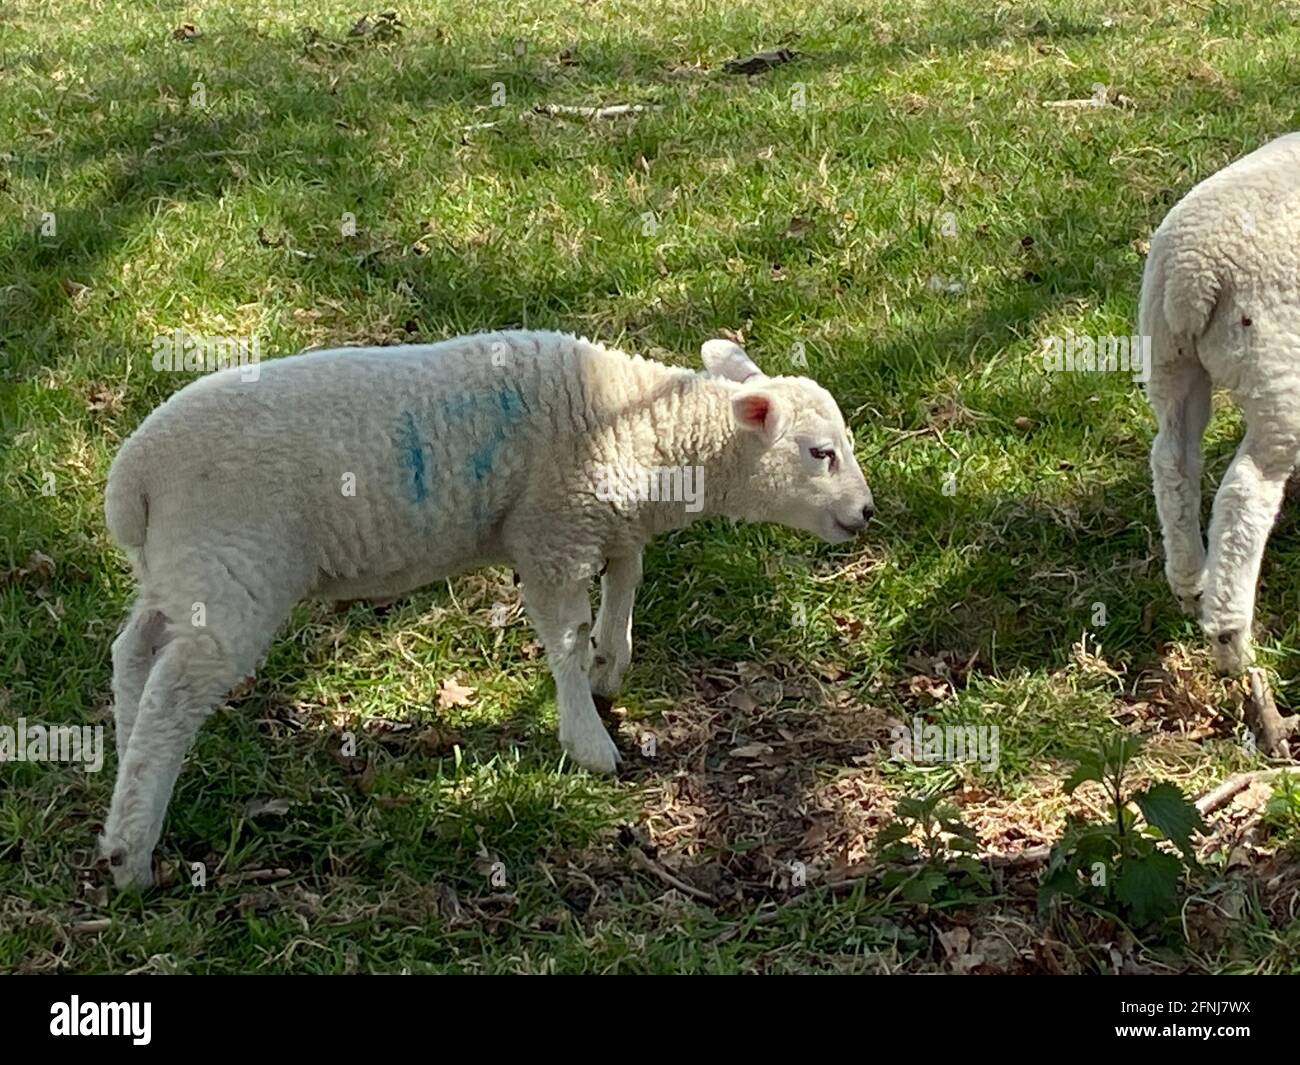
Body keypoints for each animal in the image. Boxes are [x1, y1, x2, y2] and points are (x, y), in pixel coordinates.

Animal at [100, 330, 875, 888]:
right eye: (820, 453)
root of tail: (135, 477)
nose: (867, 513)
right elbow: (564, 636)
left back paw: (123, 757)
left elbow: (627, 579)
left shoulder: (606, 522)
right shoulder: (553, 531)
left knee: (133, 653)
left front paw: (612, 661)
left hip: (180, 567)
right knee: (174, 695)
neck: (643, 430)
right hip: (233, 565)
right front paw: (588, 738)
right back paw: (130, 852)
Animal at [1142, 132, 1300, 674]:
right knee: (1246, 491)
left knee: (1173, 461)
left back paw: (1190, 582)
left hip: (1167, 354)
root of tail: (1193, 274)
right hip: (1277, 367)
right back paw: (1232, 638)